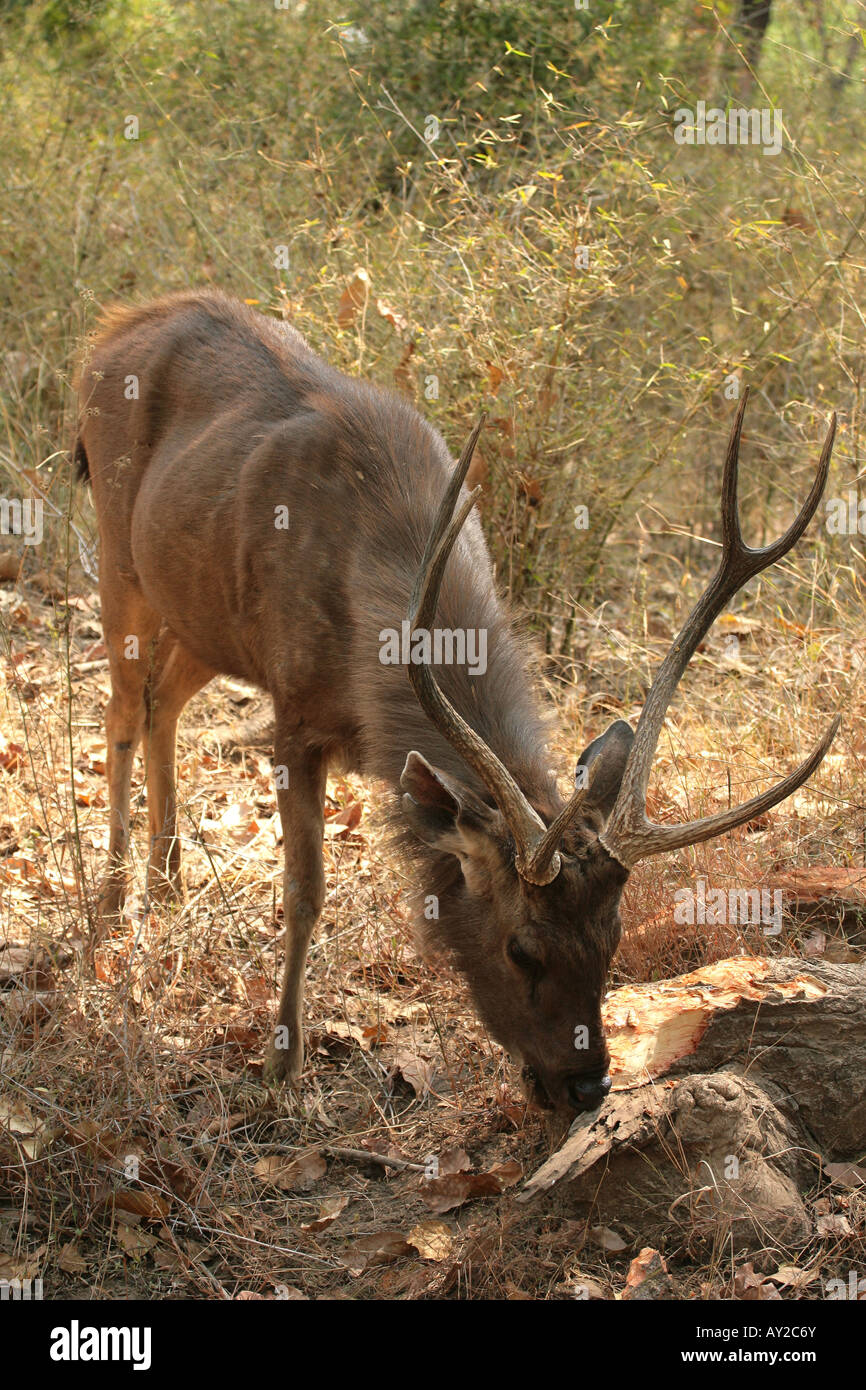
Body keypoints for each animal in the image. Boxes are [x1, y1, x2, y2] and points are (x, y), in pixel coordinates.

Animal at [74, 289, 839, 1113]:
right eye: (521, 949)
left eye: (613, 939)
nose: (587, 1084)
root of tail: (112, 330)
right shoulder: (294, 710)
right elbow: (306, 890)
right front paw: (282, 1065)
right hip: (118, 554)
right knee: (122, 709)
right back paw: (111, 909)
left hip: (199, 615)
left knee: (162, 700)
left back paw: (168, 883)